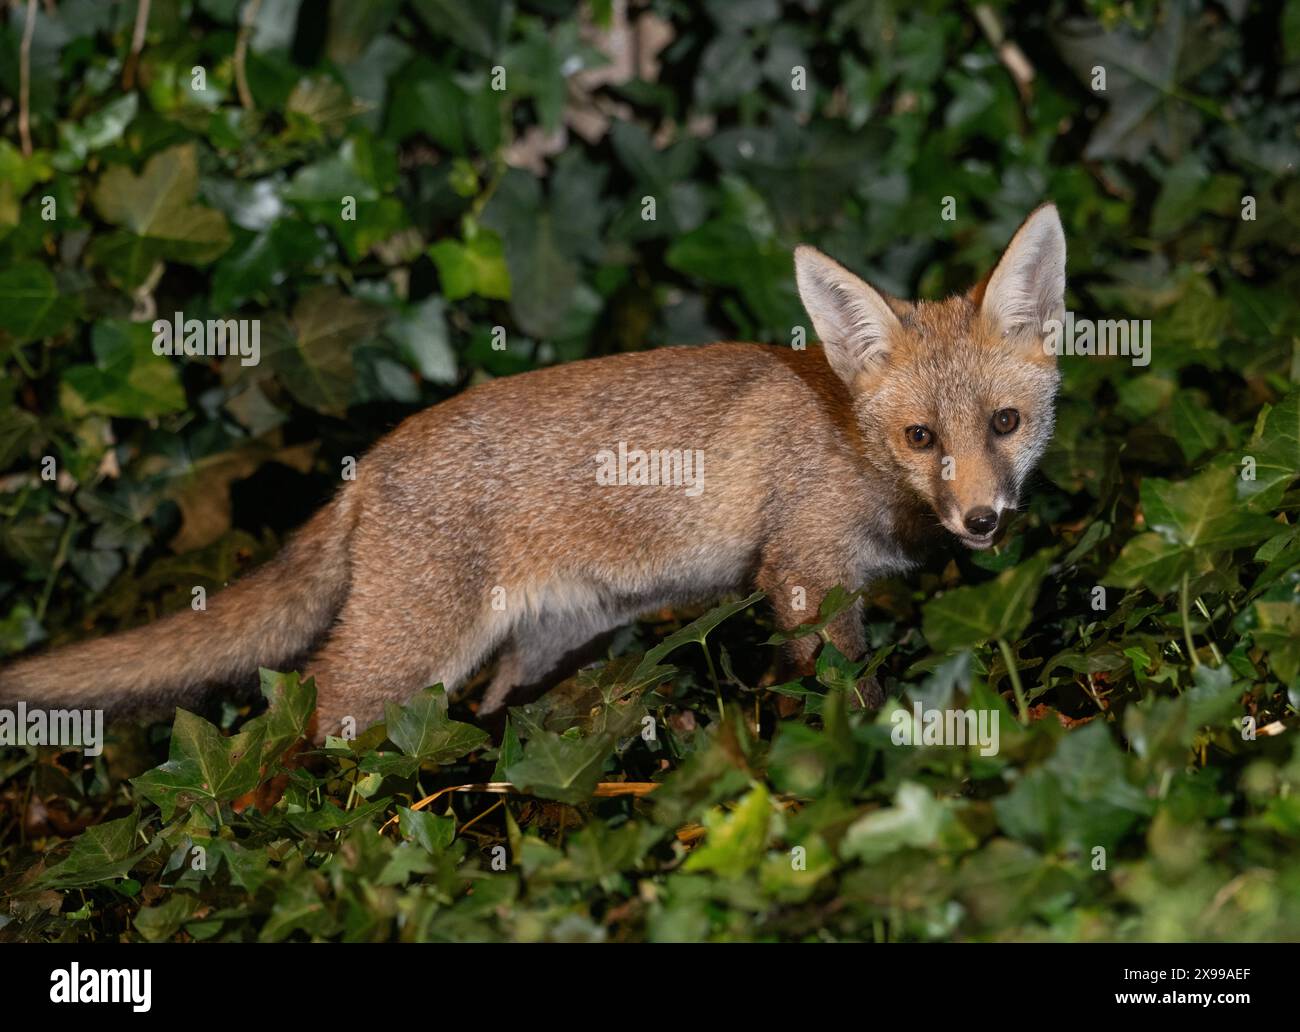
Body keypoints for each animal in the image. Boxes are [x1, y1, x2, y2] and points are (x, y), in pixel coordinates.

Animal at [0, 204, 1065, 742]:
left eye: (1004, 424)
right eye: (921, 438)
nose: (982, 522)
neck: (851, 447)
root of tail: (364, 468)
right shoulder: (803, 577)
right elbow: (846, 692)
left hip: (551, 640)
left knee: (487, 707)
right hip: (410, 653)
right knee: (313, 710)